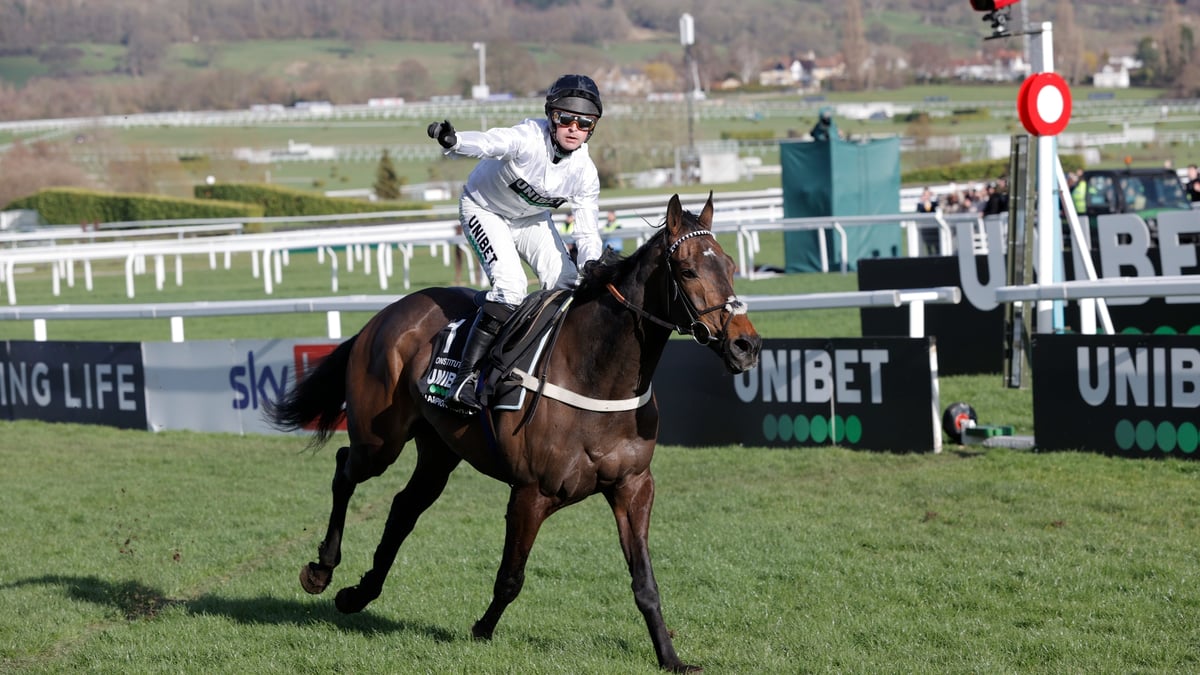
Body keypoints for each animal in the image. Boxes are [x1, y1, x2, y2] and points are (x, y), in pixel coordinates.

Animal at [266, 192, 761, 672]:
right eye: (688, 270)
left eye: (731, 266)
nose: (746, 345)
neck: (597, 373)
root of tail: (388, 312)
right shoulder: (531, 491)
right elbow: (511, 577)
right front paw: (481, 629)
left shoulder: (633, 486)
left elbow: (645, 582)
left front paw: (671, 658)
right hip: (379, 440)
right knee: (345, 470)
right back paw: (322, 570)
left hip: (439, 449)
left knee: (404, 507)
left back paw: (359, 593)